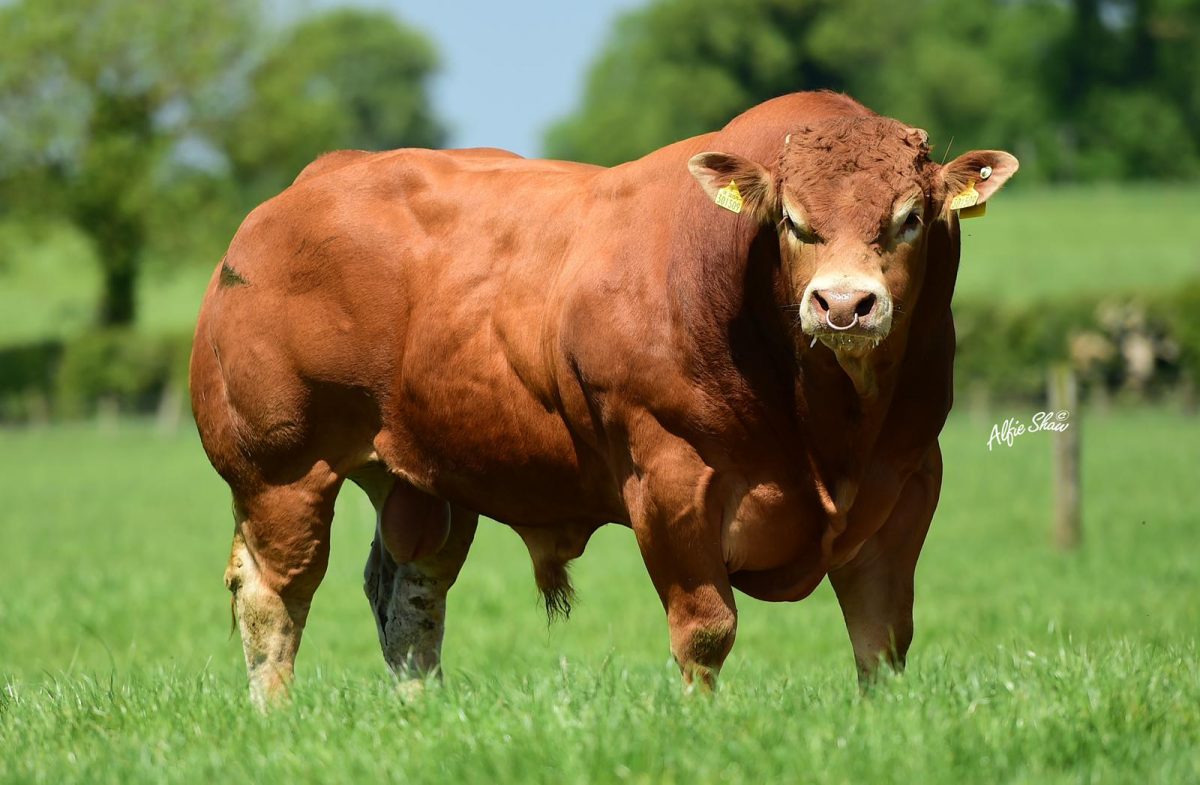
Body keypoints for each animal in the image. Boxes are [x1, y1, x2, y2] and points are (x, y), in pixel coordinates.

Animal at [190, 90, 1017, 708]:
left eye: (909, 217)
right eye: (793, 221)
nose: (844, 304)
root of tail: (305, 187)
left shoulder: (908, 481)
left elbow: (882, 638)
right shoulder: (671, 480)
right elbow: (706, 629)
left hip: (423, 476)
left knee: (409, 595)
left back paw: (421, 711)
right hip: (281, 470)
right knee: (273, 596)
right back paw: (275, 715)